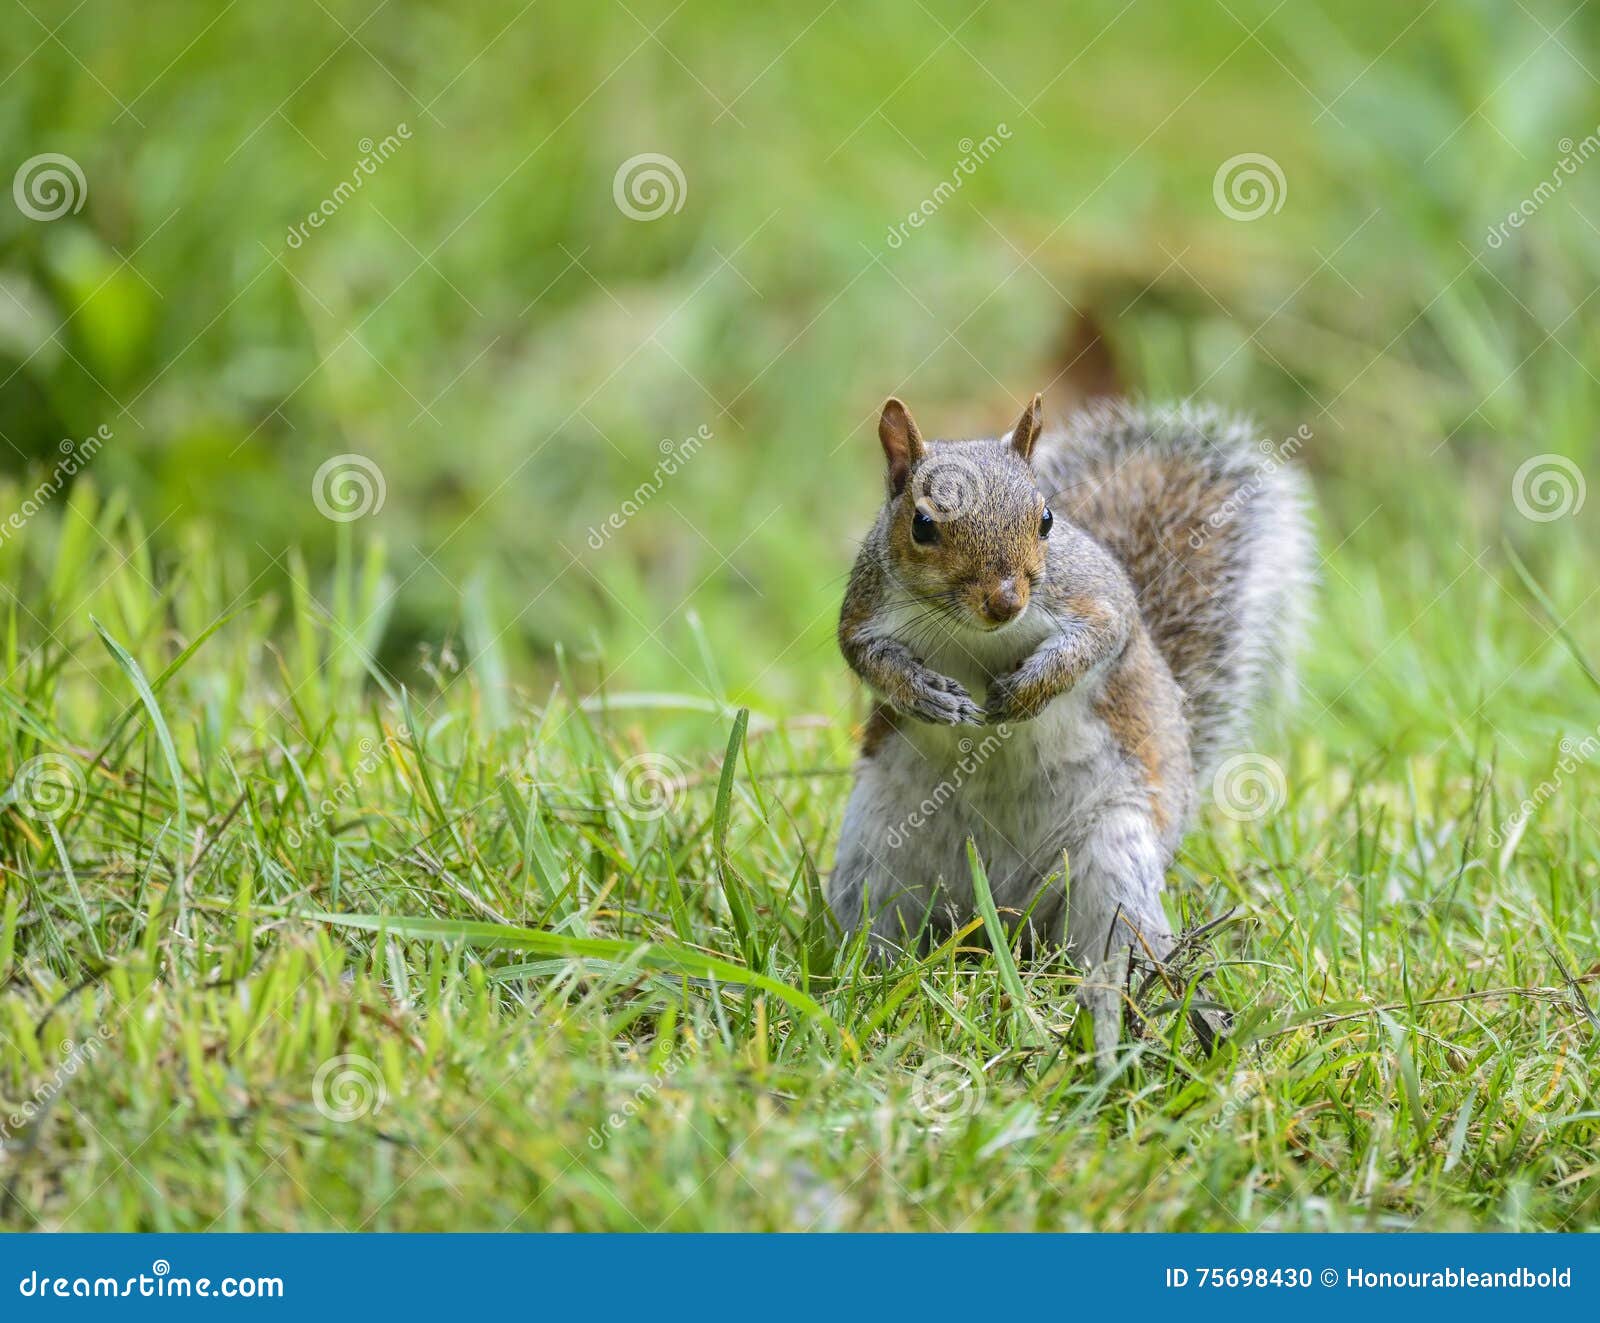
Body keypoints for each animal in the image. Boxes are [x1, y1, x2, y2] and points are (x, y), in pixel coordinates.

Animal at [829, 393, 1312, 1033]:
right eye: (922, 524)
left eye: (1046, 520)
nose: (1005, 601)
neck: (975, 630)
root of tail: (1004, 914)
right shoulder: (865, 610)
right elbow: (868, 658)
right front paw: (926, 694)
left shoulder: (1098, 599)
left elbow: (1093, 643)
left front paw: (1027, 691)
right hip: (874, 857)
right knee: (881, 924)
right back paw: (868, 978)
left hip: (1114, 864)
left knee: (1114, 943)